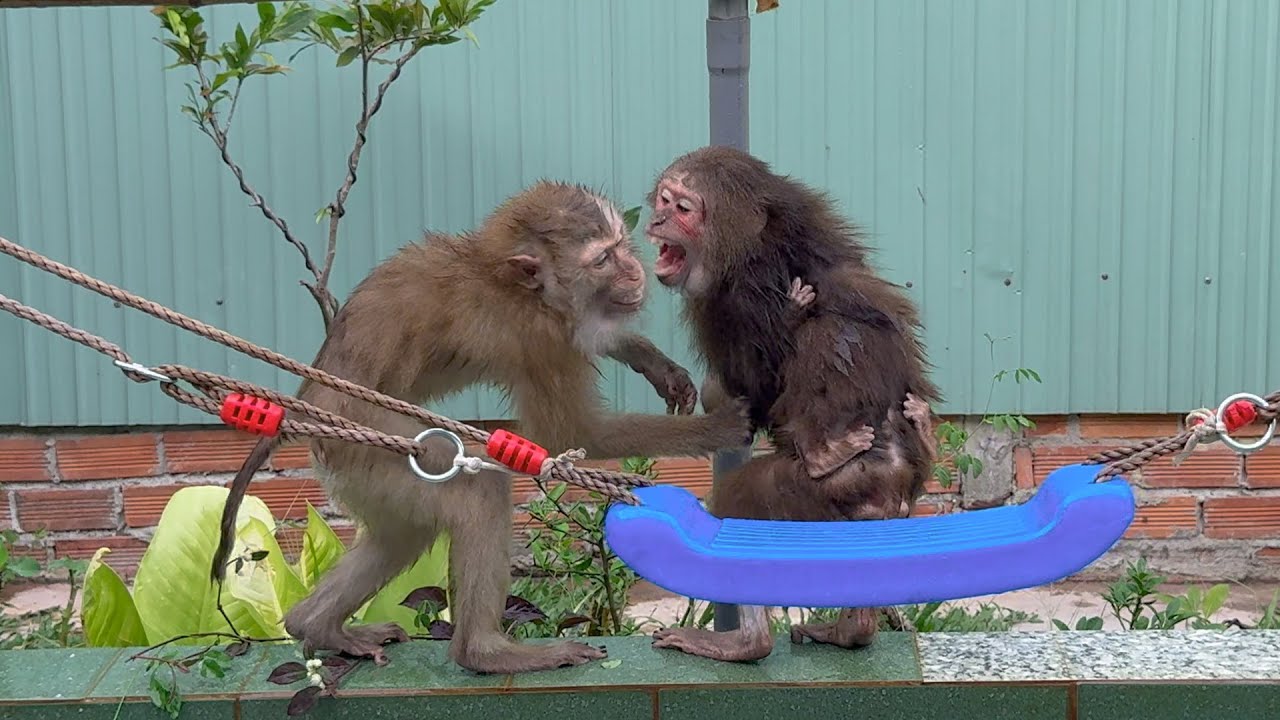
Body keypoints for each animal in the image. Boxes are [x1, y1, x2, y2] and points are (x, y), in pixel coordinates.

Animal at [209, 180, 754, 674]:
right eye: (602, 260)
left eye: (620, 245)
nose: (634, 269)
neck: (516, 283)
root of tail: (306, 407)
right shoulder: (540, 337)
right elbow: (574, 434)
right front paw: (717, 430)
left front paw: (653, 362)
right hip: (368, 442)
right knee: (475, 495)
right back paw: (485, 652)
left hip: (356, 463)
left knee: (402, 533)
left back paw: (316, 624)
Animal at [640, 145, 943, 662]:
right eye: (663, 198)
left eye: (682, 208)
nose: (657, 218)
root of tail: (892, 483)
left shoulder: (736, 298)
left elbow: (758, 391)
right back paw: (854, 629)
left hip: (817, 495)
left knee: (740, 504)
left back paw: (749, 643)